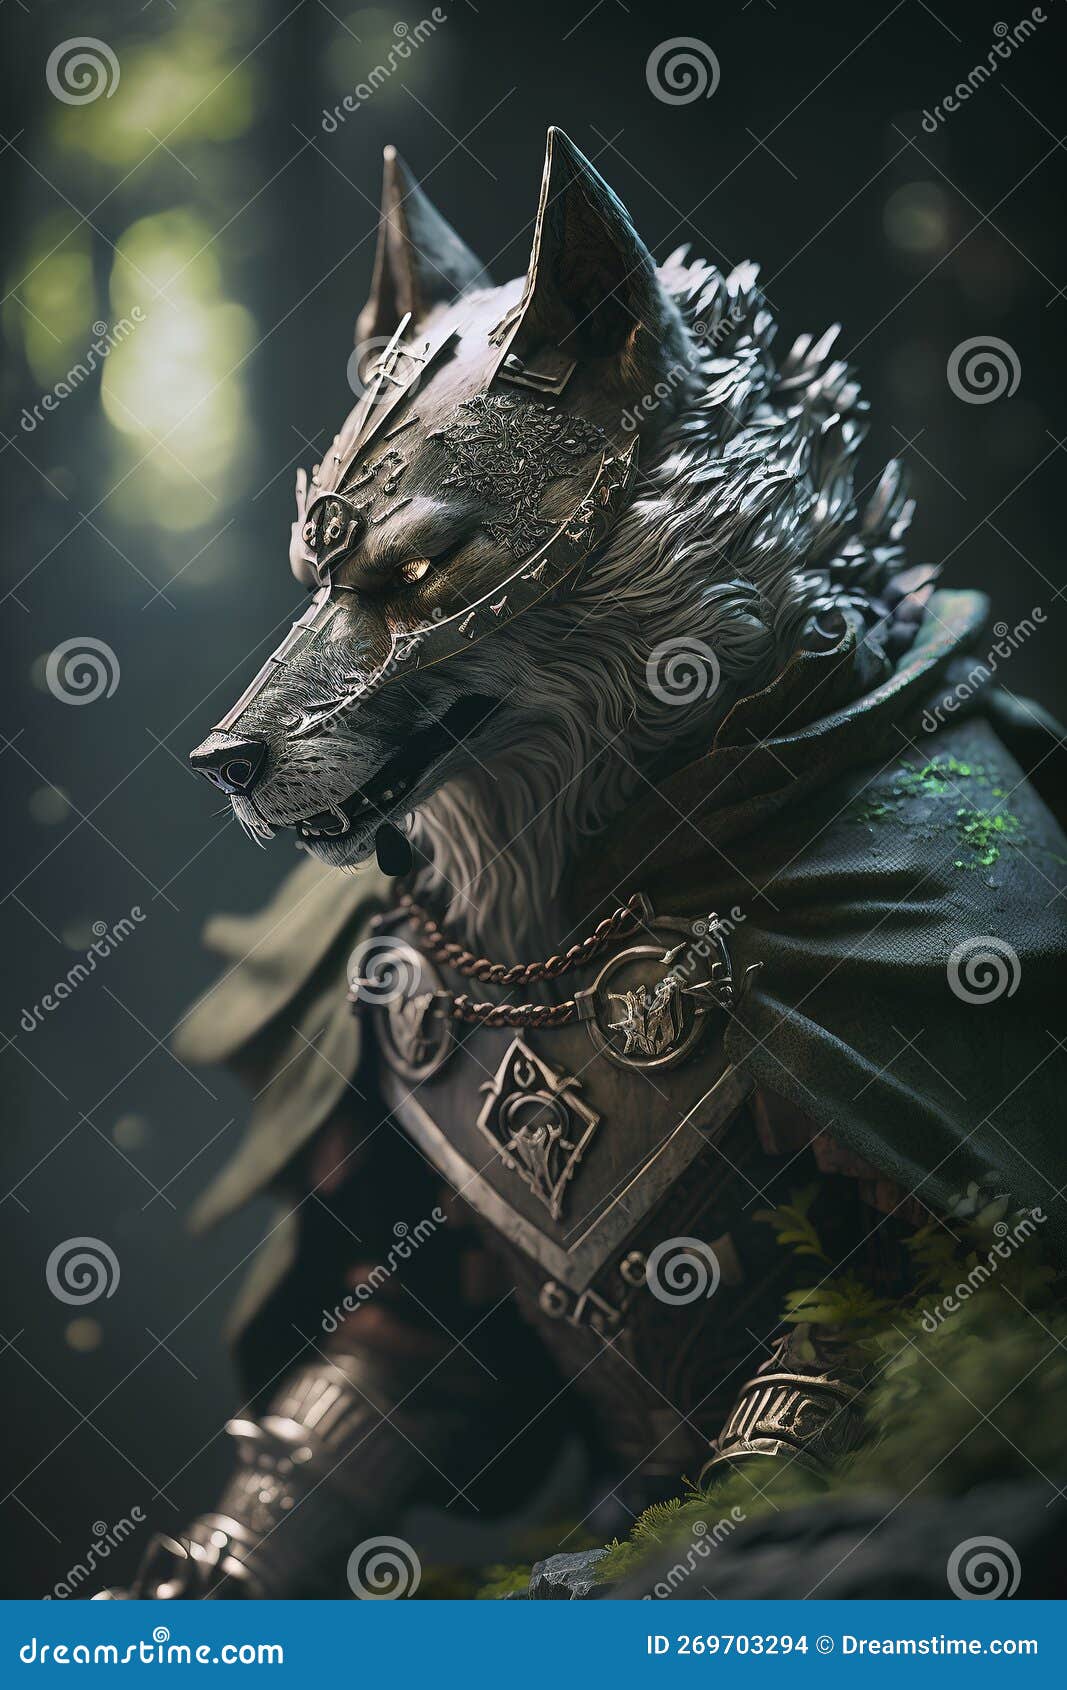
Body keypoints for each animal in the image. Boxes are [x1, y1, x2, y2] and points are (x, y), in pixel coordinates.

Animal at [105, 130, 1065, 1599]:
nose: (224, 761)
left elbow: (848, 1345)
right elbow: (389, 1365)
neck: (563, 896)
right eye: (307, 569)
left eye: (421, 568)